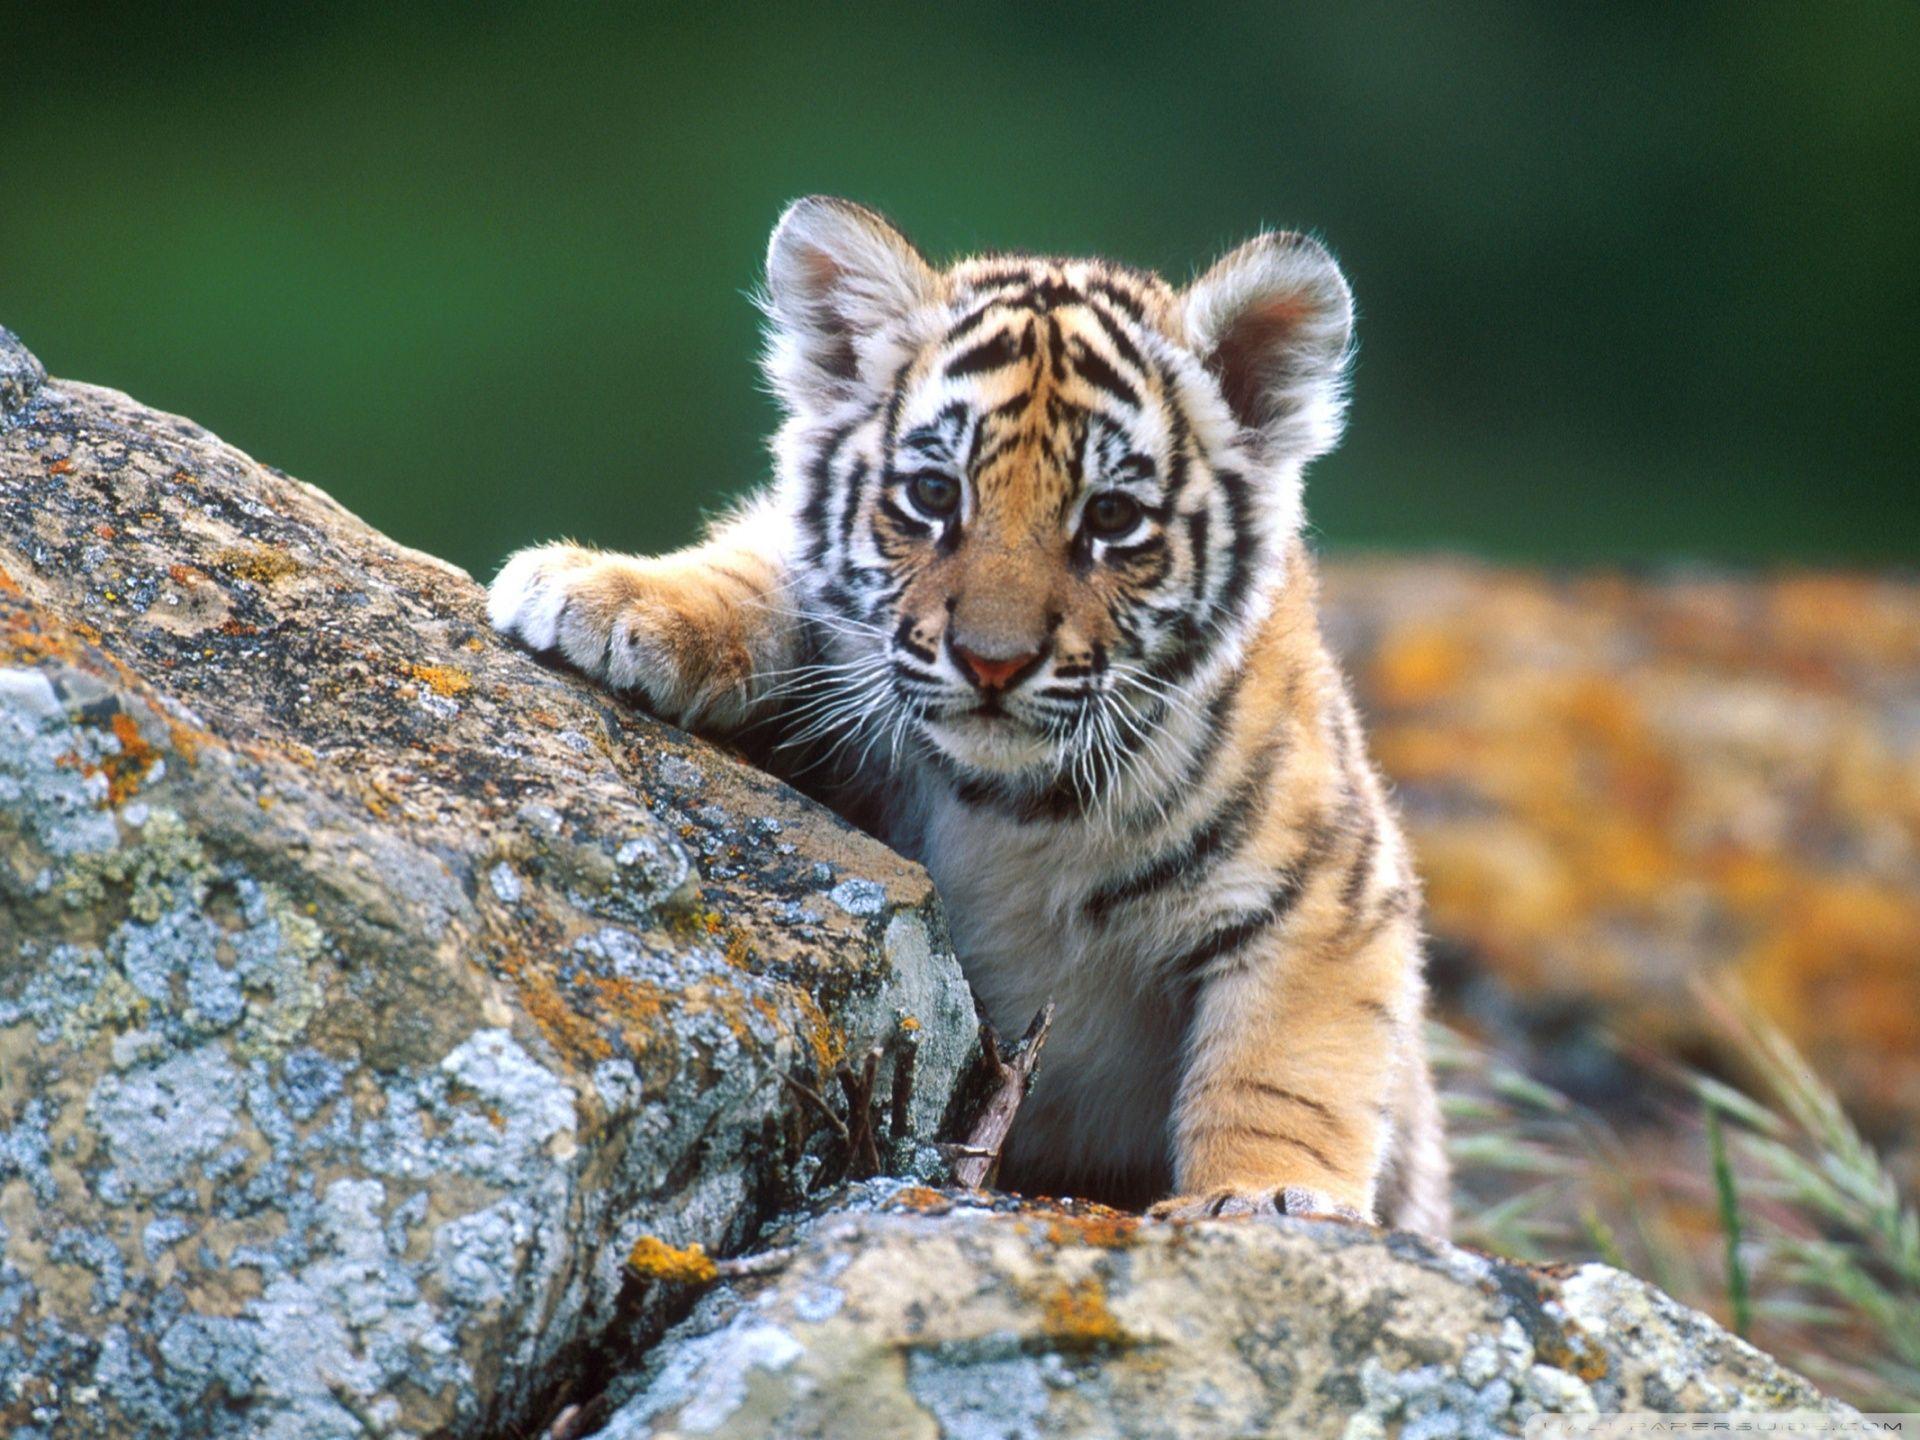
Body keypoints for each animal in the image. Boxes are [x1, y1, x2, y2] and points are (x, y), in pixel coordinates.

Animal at [488, 196, 1449, 1234]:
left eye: (1111, 518)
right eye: (933, 493)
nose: (993, 661)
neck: (1012, 805)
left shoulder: (1329, 893)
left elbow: (1283, 1071)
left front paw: (1266, 1198)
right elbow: (761, 568)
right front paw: (604, 594)